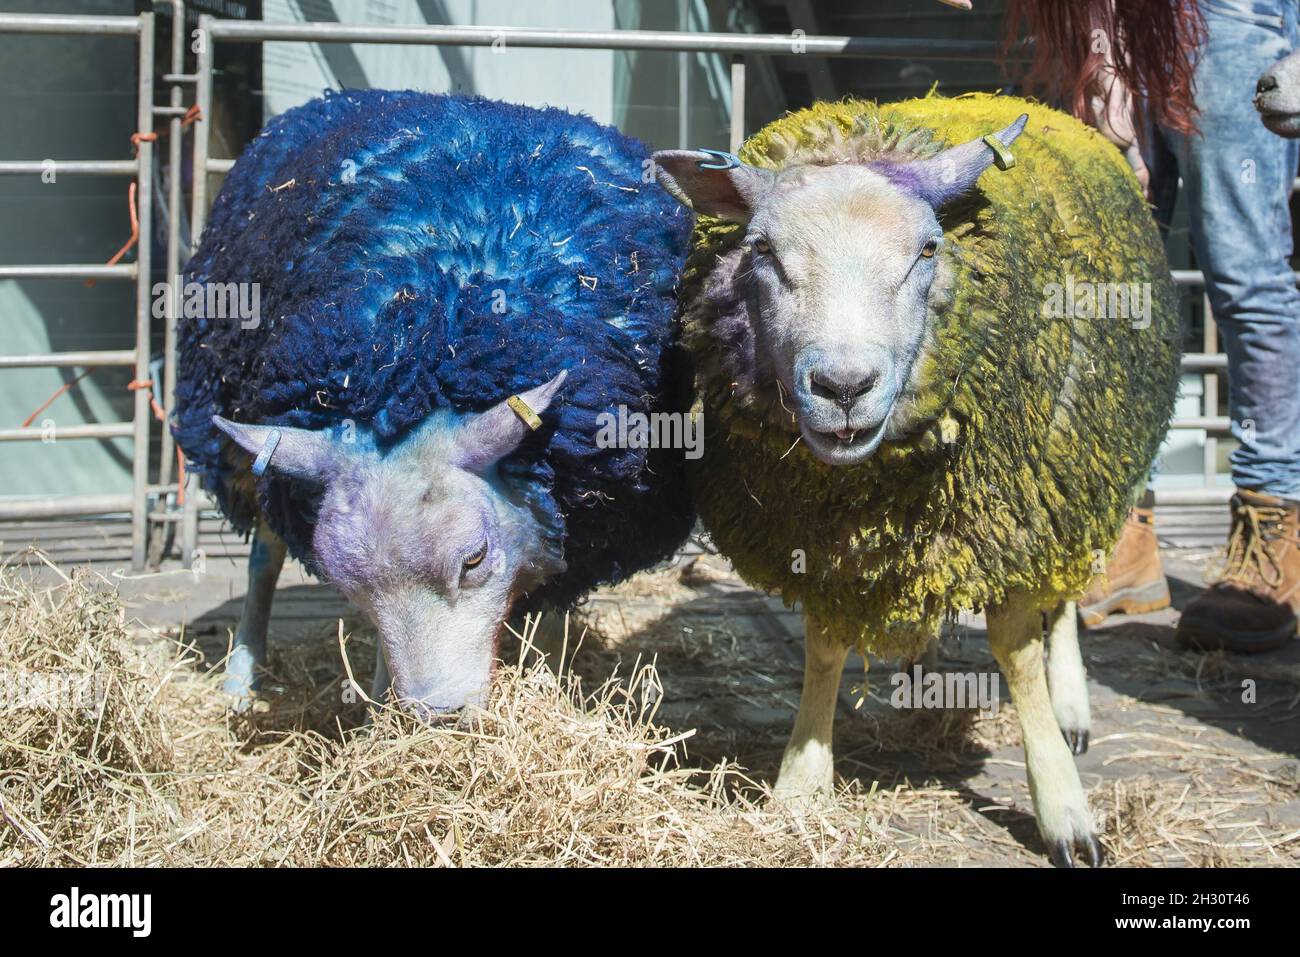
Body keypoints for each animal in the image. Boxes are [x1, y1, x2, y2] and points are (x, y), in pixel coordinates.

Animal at [173, 90, 694, 715]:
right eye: (350, 586)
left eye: (473, 559)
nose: (437, 712)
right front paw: (381, 709)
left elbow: (553, 600)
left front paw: (548, 680)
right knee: (263, 556)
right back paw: (241, 675)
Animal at [653, 94, 1180, 866]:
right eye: (763, 251)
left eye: (928, 250)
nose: (843, 386)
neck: (866, 487)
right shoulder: (823, 536)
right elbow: (824, 648)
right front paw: (801, 782)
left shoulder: (1015, 513)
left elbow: (1018, 650)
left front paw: (1062, 804)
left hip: (1078, 482)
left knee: (1064, 596)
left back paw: (1072, 704)